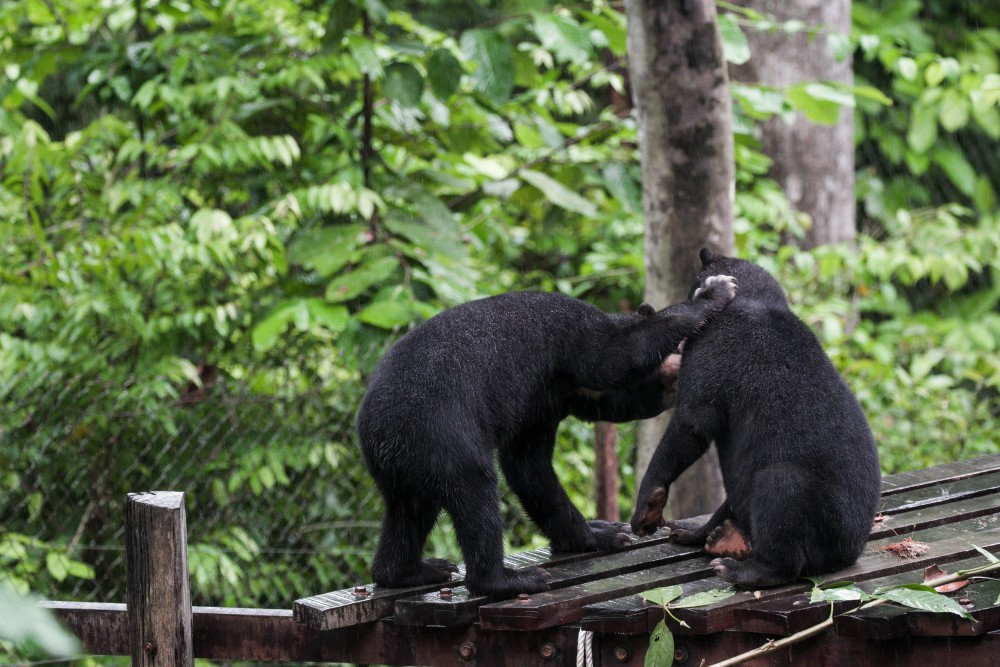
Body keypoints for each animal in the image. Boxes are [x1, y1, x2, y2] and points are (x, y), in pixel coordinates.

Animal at [357, 276, 737, 599]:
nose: (681, 374)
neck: (569, 385)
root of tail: (376, 427)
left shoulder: (540, 404)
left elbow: (530, 467)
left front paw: (599, 534)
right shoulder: (569, 336)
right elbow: (618, 352)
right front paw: (716, 292)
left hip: (406, 465)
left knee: (409, 511)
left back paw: (410, 571)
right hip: (442, 432)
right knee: (474, 492)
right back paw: (510, 579)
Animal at [630, 250, 881, 588]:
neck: (757, 300)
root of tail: (851, 552)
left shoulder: (712, 353)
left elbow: (692, 424)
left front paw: (647, 507)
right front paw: (687, 530)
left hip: (820, 516)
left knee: (780, 492)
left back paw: (743, 568)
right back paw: (718, 537)